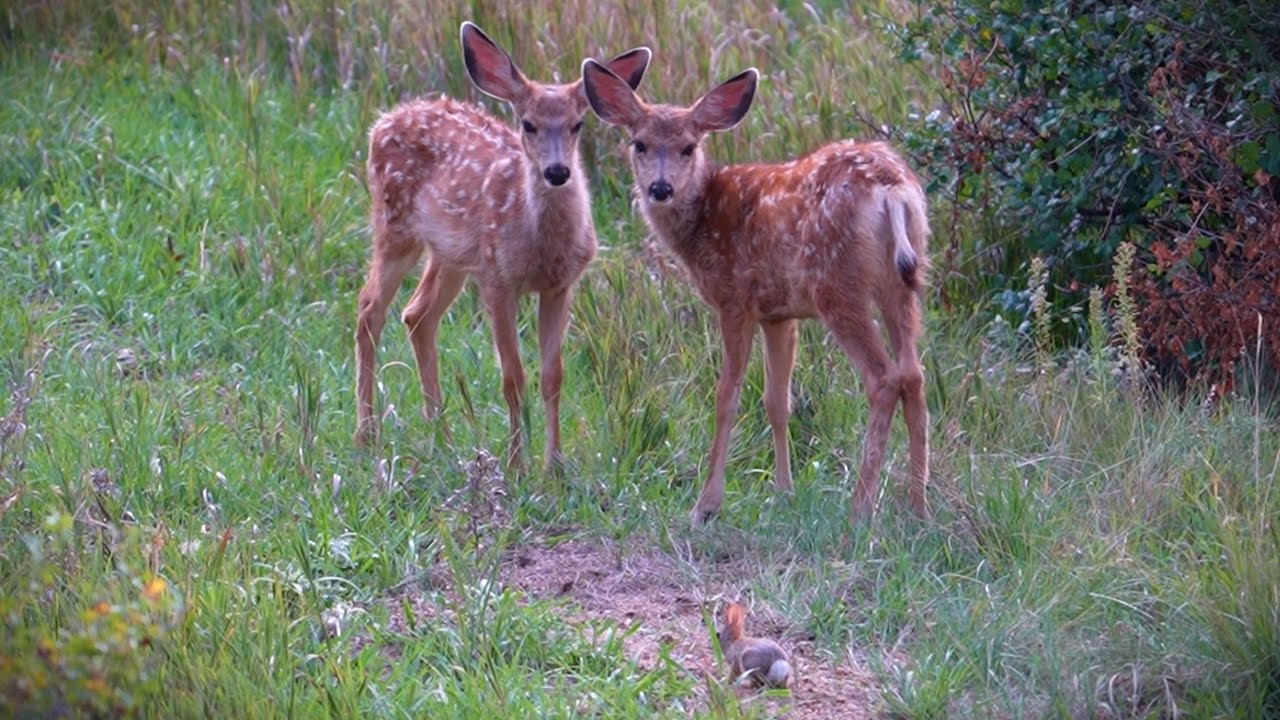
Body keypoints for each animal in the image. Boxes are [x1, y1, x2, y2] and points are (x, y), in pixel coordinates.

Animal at [355, 22, 651, 472]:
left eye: (578, 124)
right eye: (527, 124)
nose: (558, 171)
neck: (540, 246)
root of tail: (384, 121)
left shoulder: (560, 286)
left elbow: (553, 375)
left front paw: (555, 465)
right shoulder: (498, 280)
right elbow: (512, 376)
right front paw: (516, 465)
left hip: (452, 255)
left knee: (418, 314)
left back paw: (440, 436)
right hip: (396, 226)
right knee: (370, 308)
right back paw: (367, 434)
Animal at [581, 60, 931, 525]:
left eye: (688, 147)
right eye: (640, 144)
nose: (660, 188)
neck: (702, 221)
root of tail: (891, 187)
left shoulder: (734, 298)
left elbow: (726, 396)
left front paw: (706, 505)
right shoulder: (778, 314)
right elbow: (776, 401)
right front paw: (783, 492)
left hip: (837, 283)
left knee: (884, 378)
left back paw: (860, 509)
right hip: (904, 280)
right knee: (914, 375)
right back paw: (918, 508)